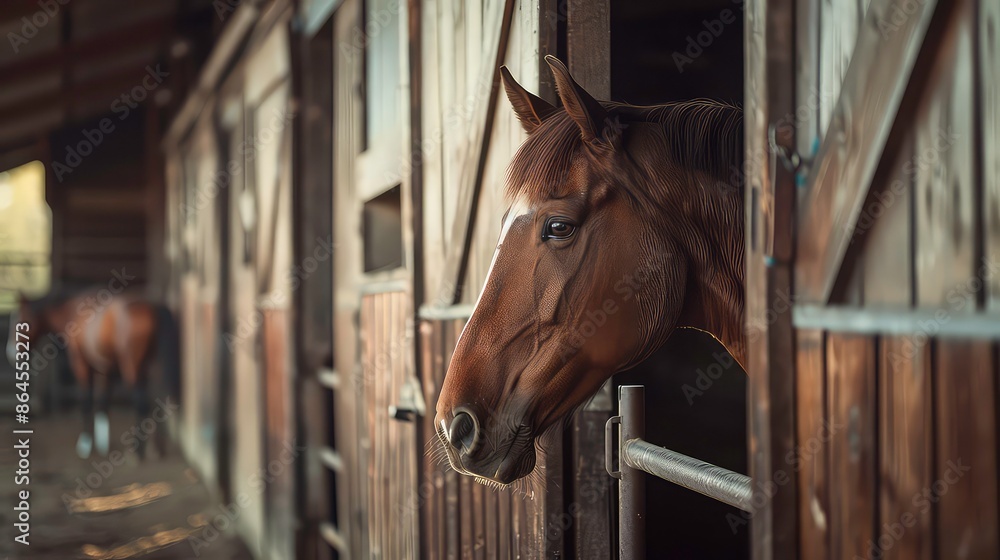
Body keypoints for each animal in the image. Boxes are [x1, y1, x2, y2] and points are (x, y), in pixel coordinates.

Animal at [7, 288, 179, 460]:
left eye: (21, 321)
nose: (11, 353)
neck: (73, 312)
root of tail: (153, 307)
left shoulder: (81, 366)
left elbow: (87, 402)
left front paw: (85, 444)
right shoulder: (105, 371)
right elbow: (103, 404)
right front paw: (102, 445)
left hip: (133, 371)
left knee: (142, 403)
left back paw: (137, 452)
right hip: (152, 370)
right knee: (157, 401)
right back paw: (154, 448)